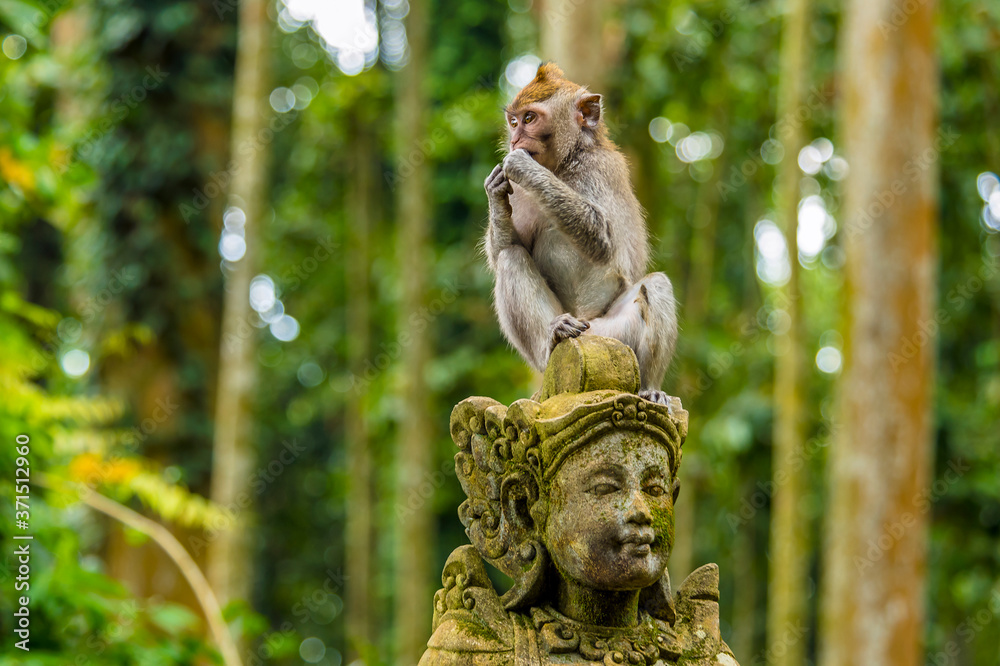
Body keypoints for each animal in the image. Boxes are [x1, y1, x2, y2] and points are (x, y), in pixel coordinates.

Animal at [483, 63, 679, 405]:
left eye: (530, 119)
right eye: (513, 121)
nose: (515, 140)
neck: (564, 164)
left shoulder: (599, 169)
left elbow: (603, 239)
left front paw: (522, 165)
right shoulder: (520, 195)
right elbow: (506, 249)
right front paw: (494, 190)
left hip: (615, 337)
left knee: (656, 285)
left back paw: (650, 389)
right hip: (571, 334)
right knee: (511, 257)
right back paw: (552, 339)